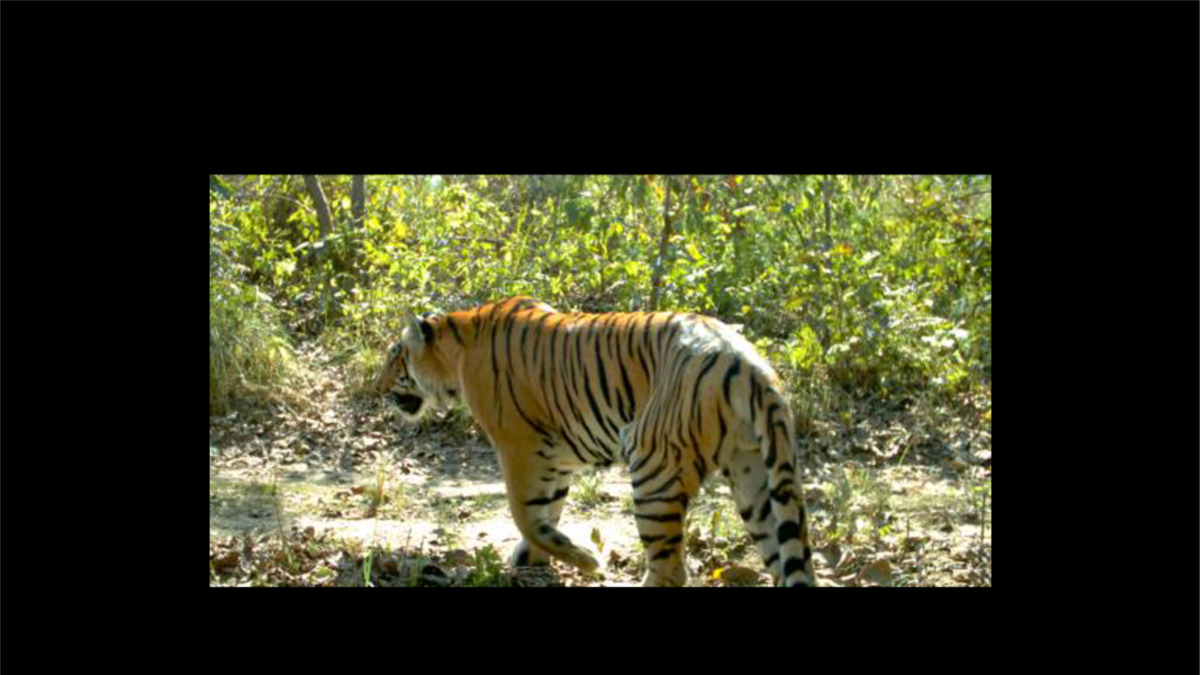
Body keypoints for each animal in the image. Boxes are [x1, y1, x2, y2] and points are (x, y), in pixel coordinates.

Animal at [374, 296, 814, 587]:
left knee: (670, 569)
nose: (378, 386)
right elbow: (546, 511)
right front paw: (535, 557)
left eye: (395, 356)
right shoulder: (552, 455)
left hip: (654, 465)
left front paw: (584, 562)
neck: (460, 342)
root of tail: (746, 363)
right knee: (788, 558)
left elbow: (523, 513)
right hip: (755, 475)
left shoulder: (519, 445)